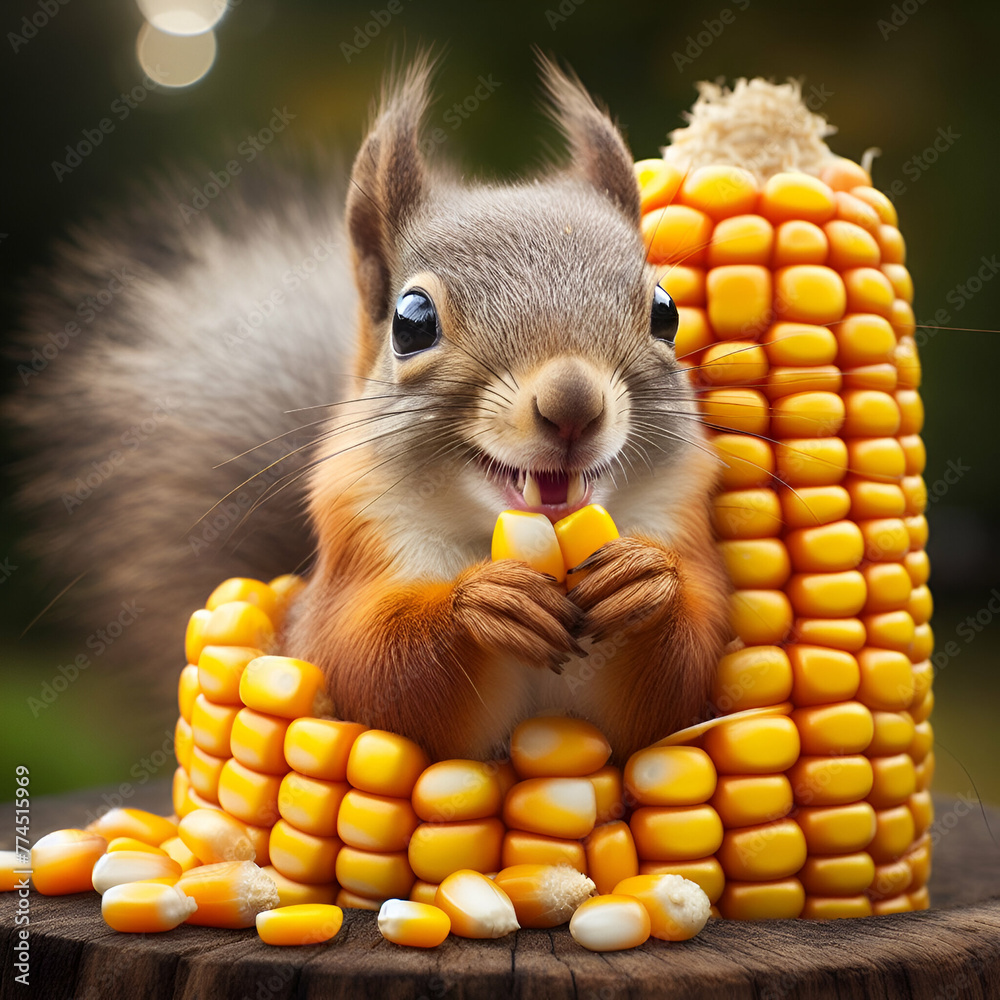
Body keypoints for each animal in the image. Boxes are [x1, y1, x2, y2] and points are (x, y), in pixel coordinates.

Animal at [9, 55, 731, 763]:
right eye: (412, 322)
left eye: (666, 311)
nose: (573, 404)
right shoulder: (347, 580)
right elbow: (377, 671)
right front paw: (481, 602)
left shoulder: (681, 543)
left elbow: (675, 689)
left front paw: (645, 580)